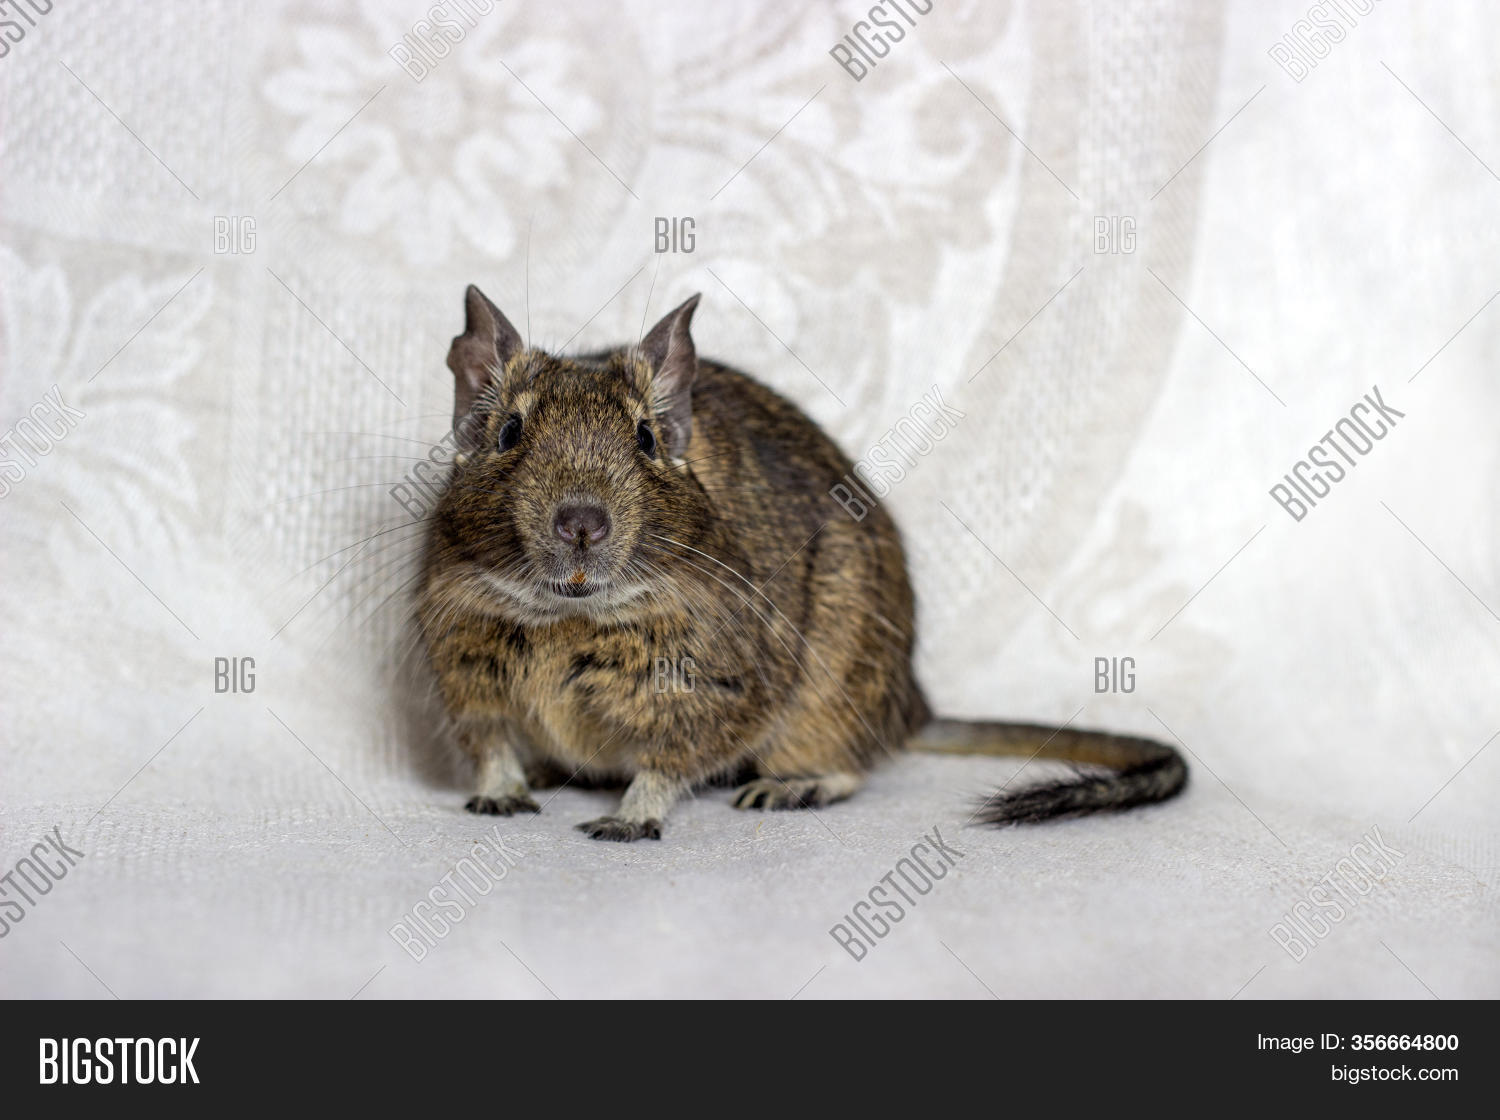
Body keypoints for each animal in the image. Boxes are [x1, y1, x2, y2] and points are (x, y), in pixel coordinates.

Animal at [418, 285, 1188, 841]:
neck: (569, 617)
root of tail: (913, 709)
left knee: (850, 766)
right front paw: (500, 796)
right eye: (509, 432)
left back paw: (791, 787)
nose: (581, 522)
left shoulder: (716, 688)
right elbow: (490, 746)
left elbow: (670, 762)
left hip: (827, 698)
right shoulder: (464, 669)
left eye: (645, 438)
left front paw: (629, 818)